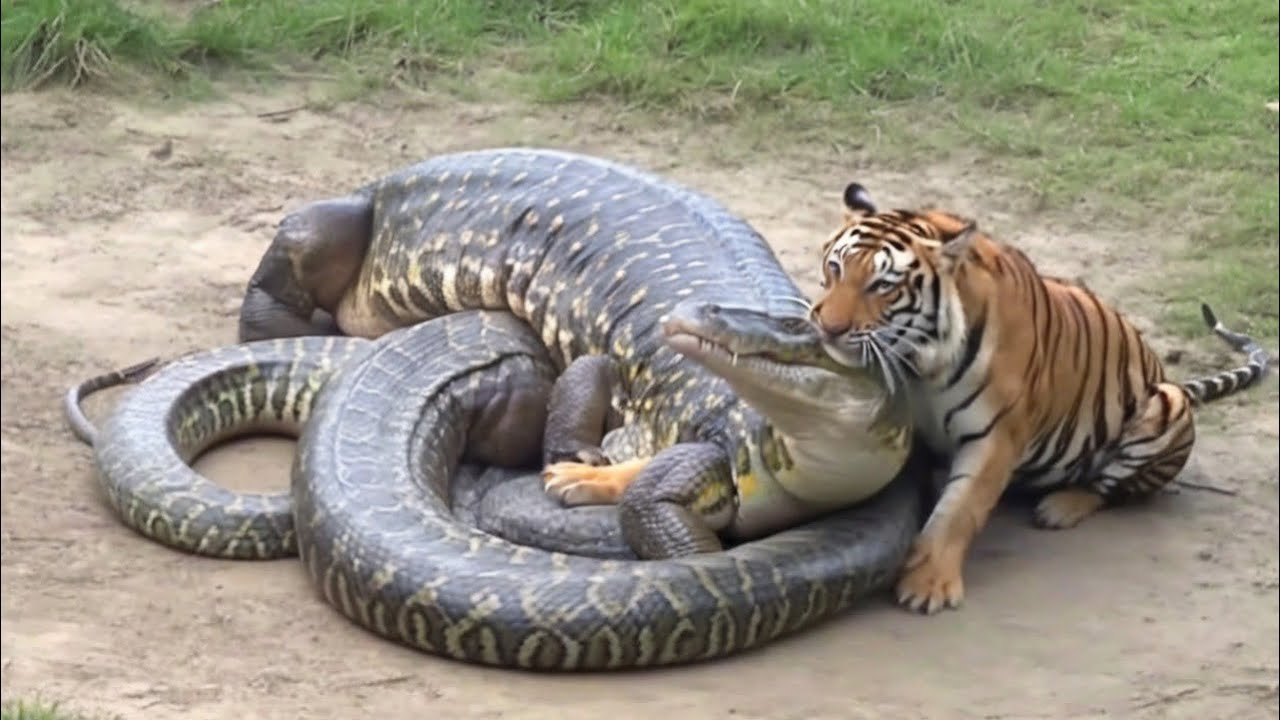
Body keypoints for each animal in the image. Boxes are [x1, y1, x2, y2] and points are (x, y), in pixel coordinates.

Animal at [807, 181, 1273, 615]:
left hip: (1166, 406)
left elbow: (960, 510)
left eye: (881, 286)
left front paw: (928, 585)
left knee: (1108, 489)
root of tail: (1164, 371)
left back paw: (1061, 508)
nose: (827, 327)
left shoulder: (996, 437)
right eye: (835, 267)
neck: (921, 364)